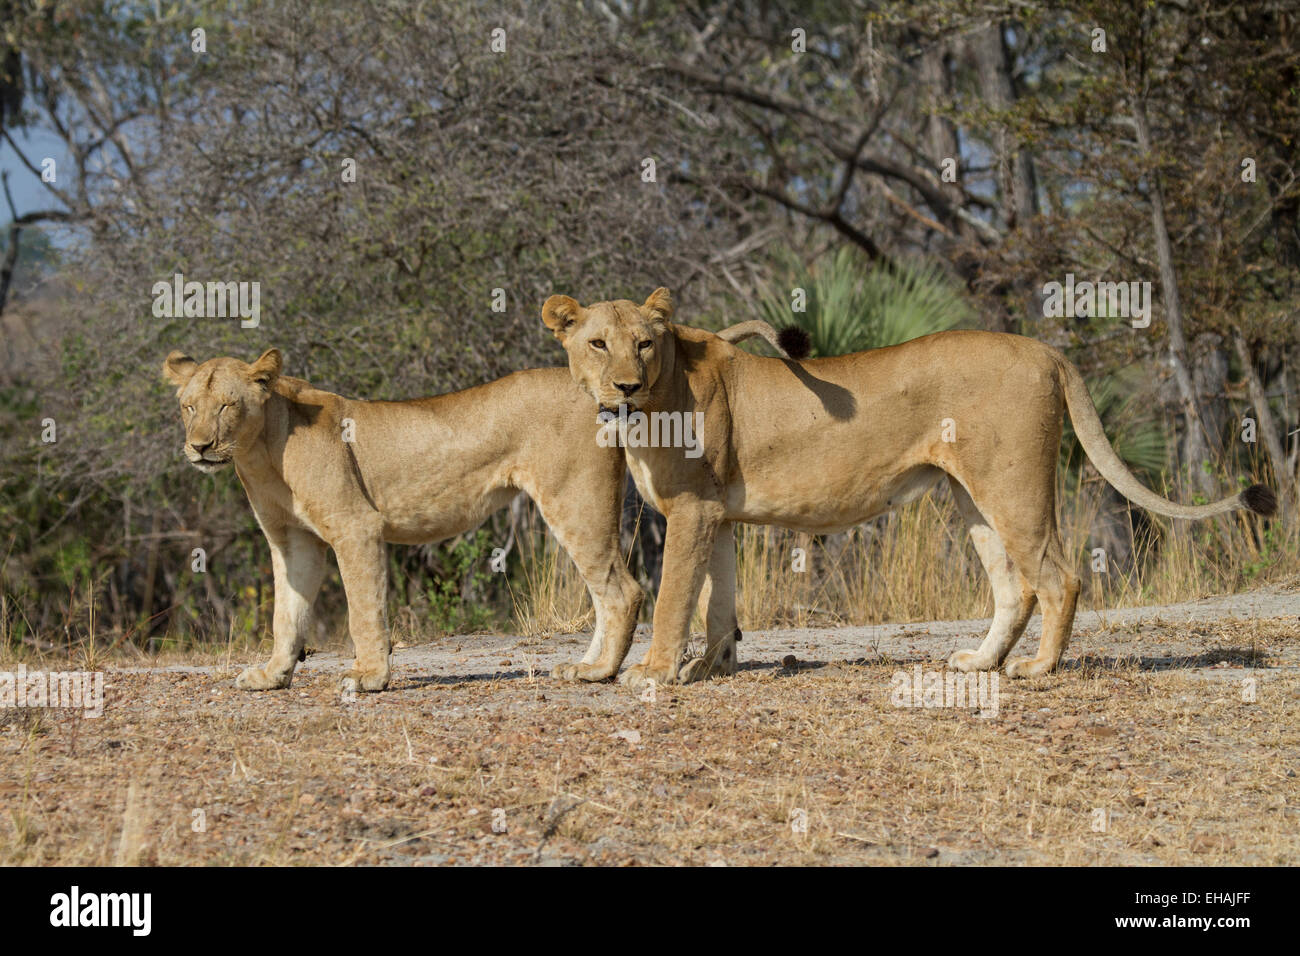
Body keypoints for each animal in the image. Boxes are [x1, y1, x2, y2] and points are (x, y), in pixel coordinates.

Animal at [162, 320, 792, 692]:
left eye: (227, 406)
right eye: (189, 406)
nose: (199, 447)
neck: (259, 451)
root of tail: (604, 386)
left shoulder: (355, 526)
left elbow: (364, 610)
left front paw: (369, 676)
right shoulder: (292, 541)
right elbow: (286, 613)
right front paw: (272, 675)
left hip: (572, 500)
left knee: (624, 590)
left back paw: (601, 672)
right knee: (609, 593)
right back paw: (583, 666)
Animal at [542, 287, 1276, 688]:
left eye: (644, 343)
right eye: (599, 344)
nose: (625, 386)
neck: (658, 397)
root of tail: (1044, 349)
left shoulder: (692, 509)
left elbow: (673, 598)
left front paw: (655, 671)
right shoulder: (716, 513)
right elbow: (716, 602)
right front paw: (710, 668)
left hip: (1011, 484)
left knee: (1059, 577)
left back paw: (1037, 670)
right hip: (970, 495)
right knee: (1014, 586)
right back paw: (980, 663)